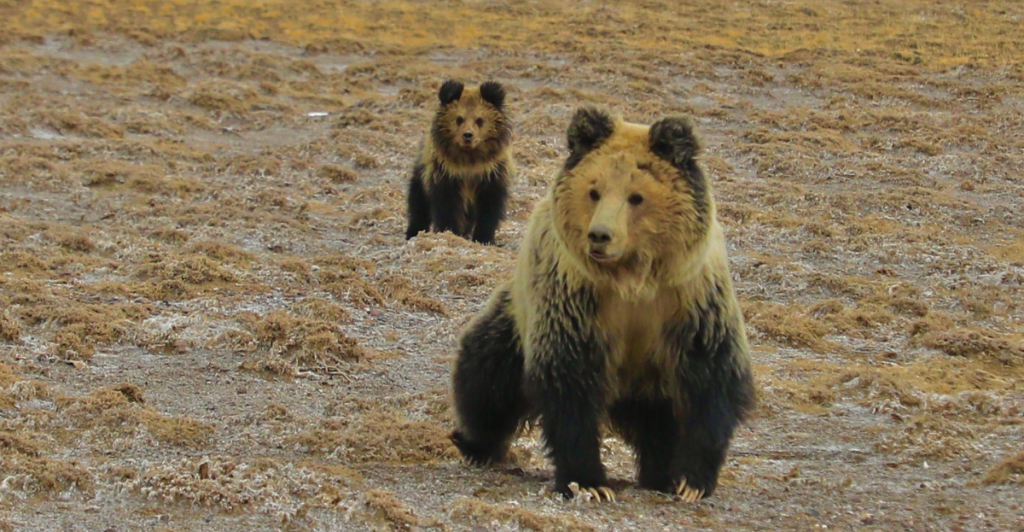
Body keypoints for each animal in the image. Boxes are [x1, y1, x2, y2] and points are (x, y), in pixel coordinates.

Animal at [405, 80, 514, 245]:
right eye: (459, 119)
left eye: (479, 120)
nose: (468, 135)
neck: (469, 161)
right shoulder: (446, 173)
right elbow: (447, 206)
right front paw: (450, 232)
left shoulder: (492, 174)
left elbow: (489, 208)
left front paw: (484, 238)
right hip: (421, 175)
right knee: (418, 205)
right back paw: (413, 232)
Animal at [449, 107, 756, 503]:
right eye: (594, 191)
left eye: (636, 196)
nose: (600, 235)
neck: (633, 279)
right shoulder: (575, 298)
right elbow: (570, 382)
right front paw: (590, 482)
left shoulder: (690, 299)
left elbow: (710, 379)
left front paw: (690, 480)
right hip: (517, 318)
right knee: (486, 377)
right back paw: (475, 444)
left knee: (660, 420)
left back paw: (660, 473)